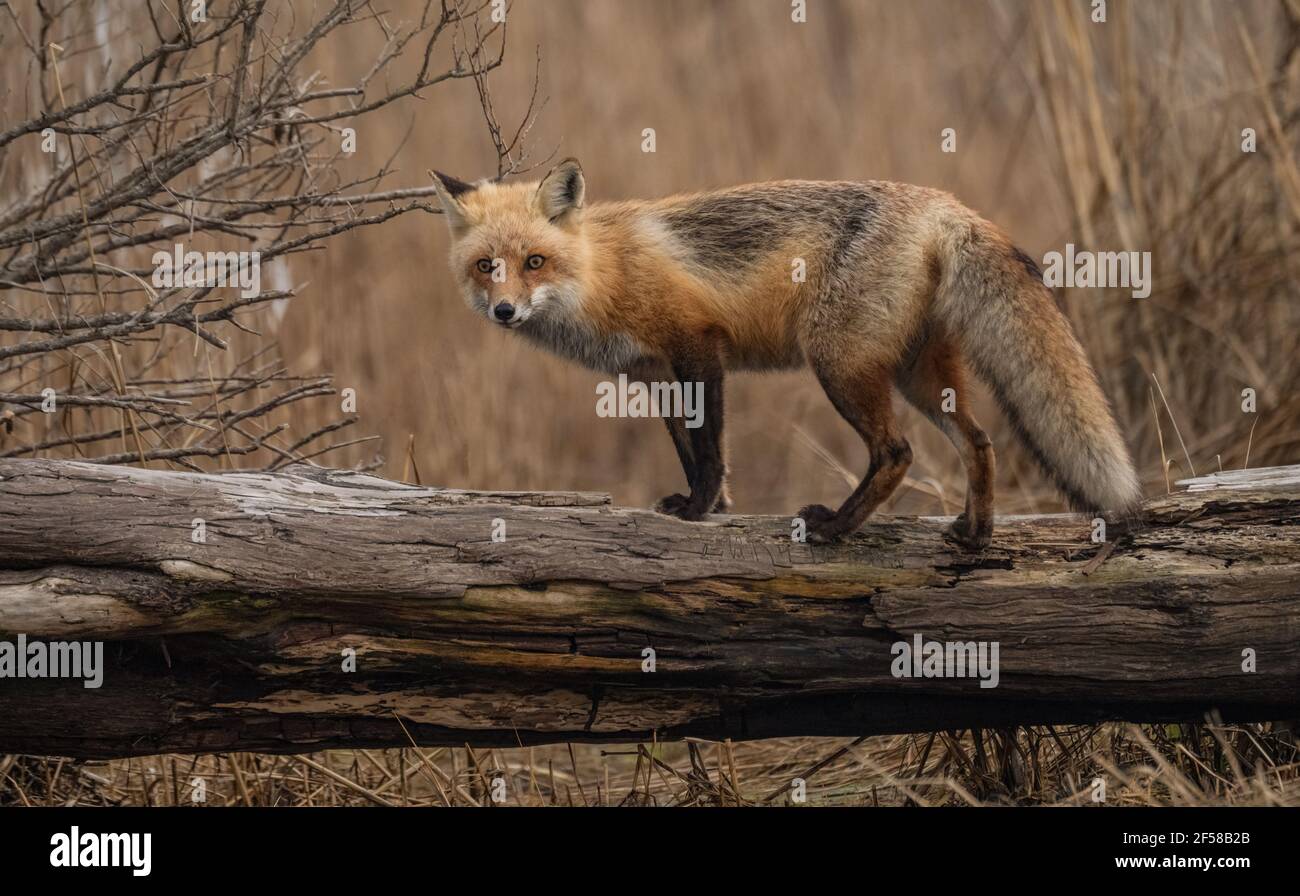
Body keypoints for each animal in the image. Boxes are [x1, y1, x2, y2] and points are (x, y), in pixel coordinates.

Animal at [429, 158, 1142, 548]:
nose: (504, 311)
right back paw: (974, 534)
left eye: (535, 262)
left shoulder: (698, 346)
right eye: (487, 266)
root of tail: (943, 203)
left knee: (898, 452)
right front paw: (709, 507)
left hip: (839, 363)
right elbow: (687, 449)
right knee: (980, 441)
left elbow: (710, 448)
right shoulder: (653, 375)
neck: (604, 273)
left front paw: (699, 511)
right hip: (917, 374)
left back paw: (836, 529)